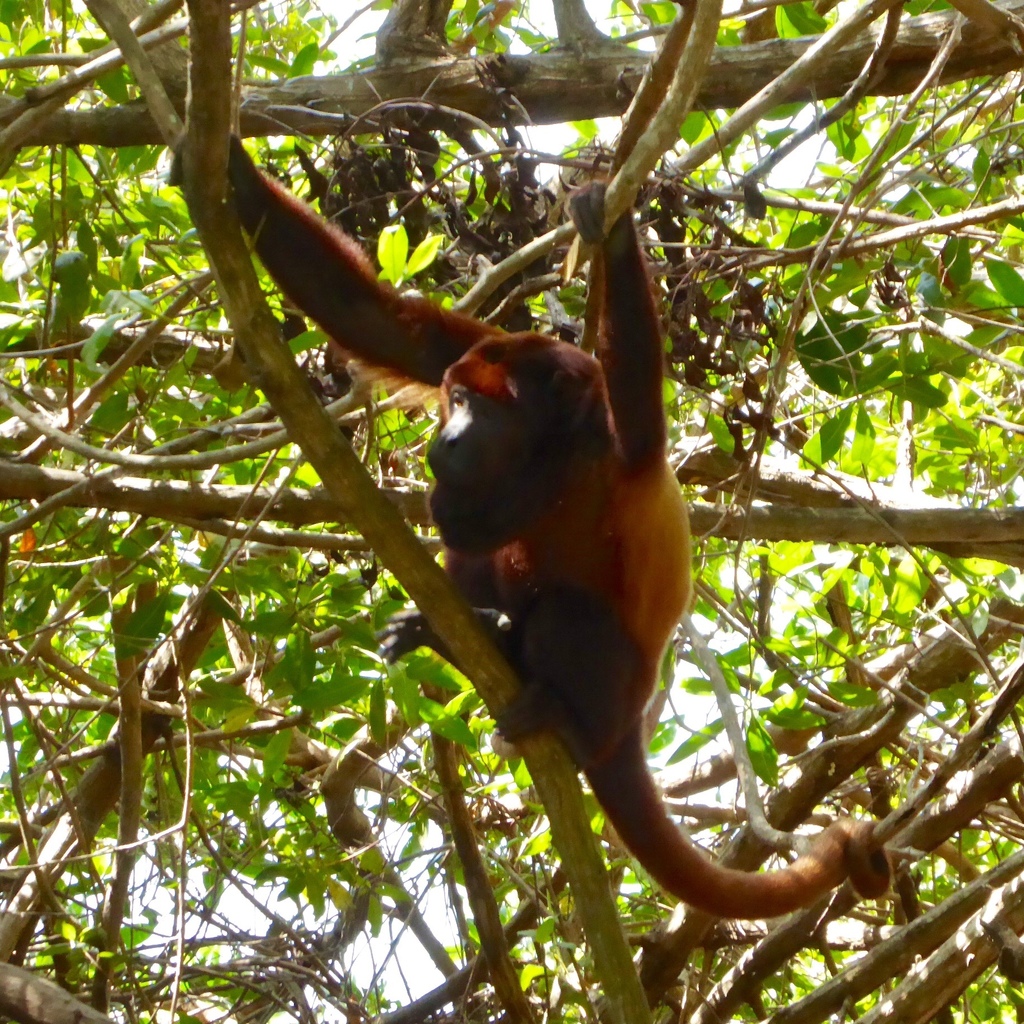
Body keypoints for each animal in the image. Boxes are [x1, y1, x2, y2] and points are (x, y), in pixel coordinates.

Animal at [226, 138, 890, 918]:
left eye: (481, 411)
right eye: (454, 398)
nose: (447, 439)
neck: (559, 449)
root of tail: (626, 733)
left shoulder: (624, 439)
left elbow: (636, 381)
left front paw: (611, 227)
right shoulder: (482, 345)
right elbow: (376, 318)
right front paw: (228, 167)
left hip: (614, 694)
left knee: (572, 616)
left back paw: (558, 714)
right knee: (480, 560)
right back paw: (470, 636)